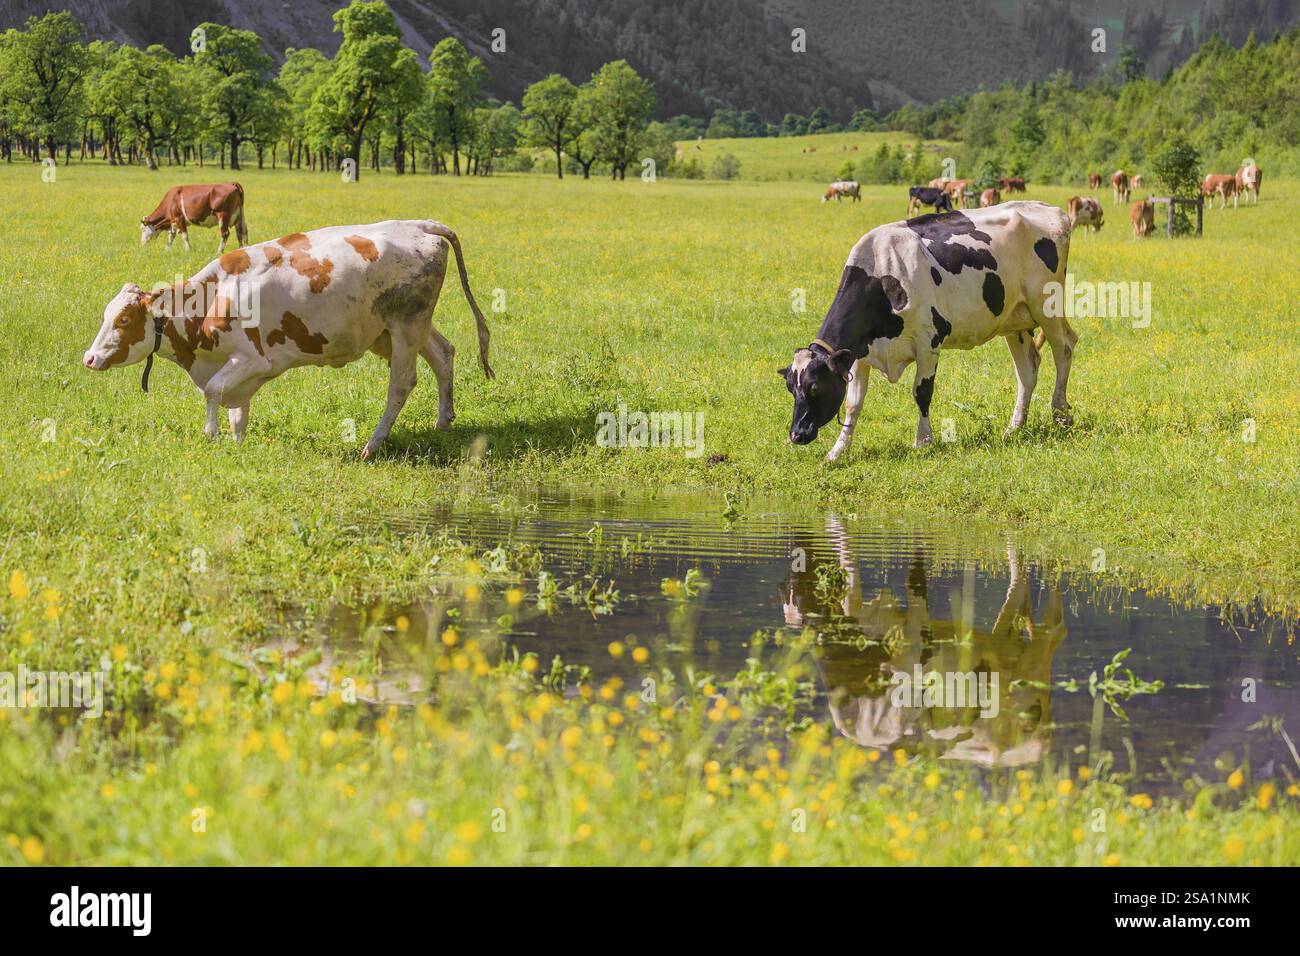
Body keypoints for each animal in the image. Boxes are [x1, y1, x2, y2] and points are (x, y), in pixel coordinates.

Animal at [83, 220, 494, 459]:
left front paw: (211, 434)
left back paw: (372, 445)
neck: (213, 296)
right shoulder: (242, 371)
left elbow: (213, 391)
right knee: (443, 354)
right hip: (402, 329)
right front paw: (237, 443)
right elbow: (237, 412)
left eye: (123, 319)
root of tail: (419, 225)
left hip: (406, 326)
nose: (89, 358)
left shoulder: (252, 359)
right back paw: (443, 421)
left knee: (402, 384)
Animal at [780, 201, 1077, 462]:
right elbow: (853, 404)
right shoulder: (858, 354)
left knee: (1064, 347)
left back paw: (1061, 413)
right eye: (791, 388)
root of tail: (1051, 209)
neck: (882, 277)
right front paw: (838, 450)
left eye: (815, 387)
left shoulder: (929, 340)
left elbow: (921, 392)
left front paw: (923, 441)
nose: (796, 435)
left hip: (1047, 306)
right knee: (1028, 368)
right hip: (1014, 319)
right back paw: (1014, 427)